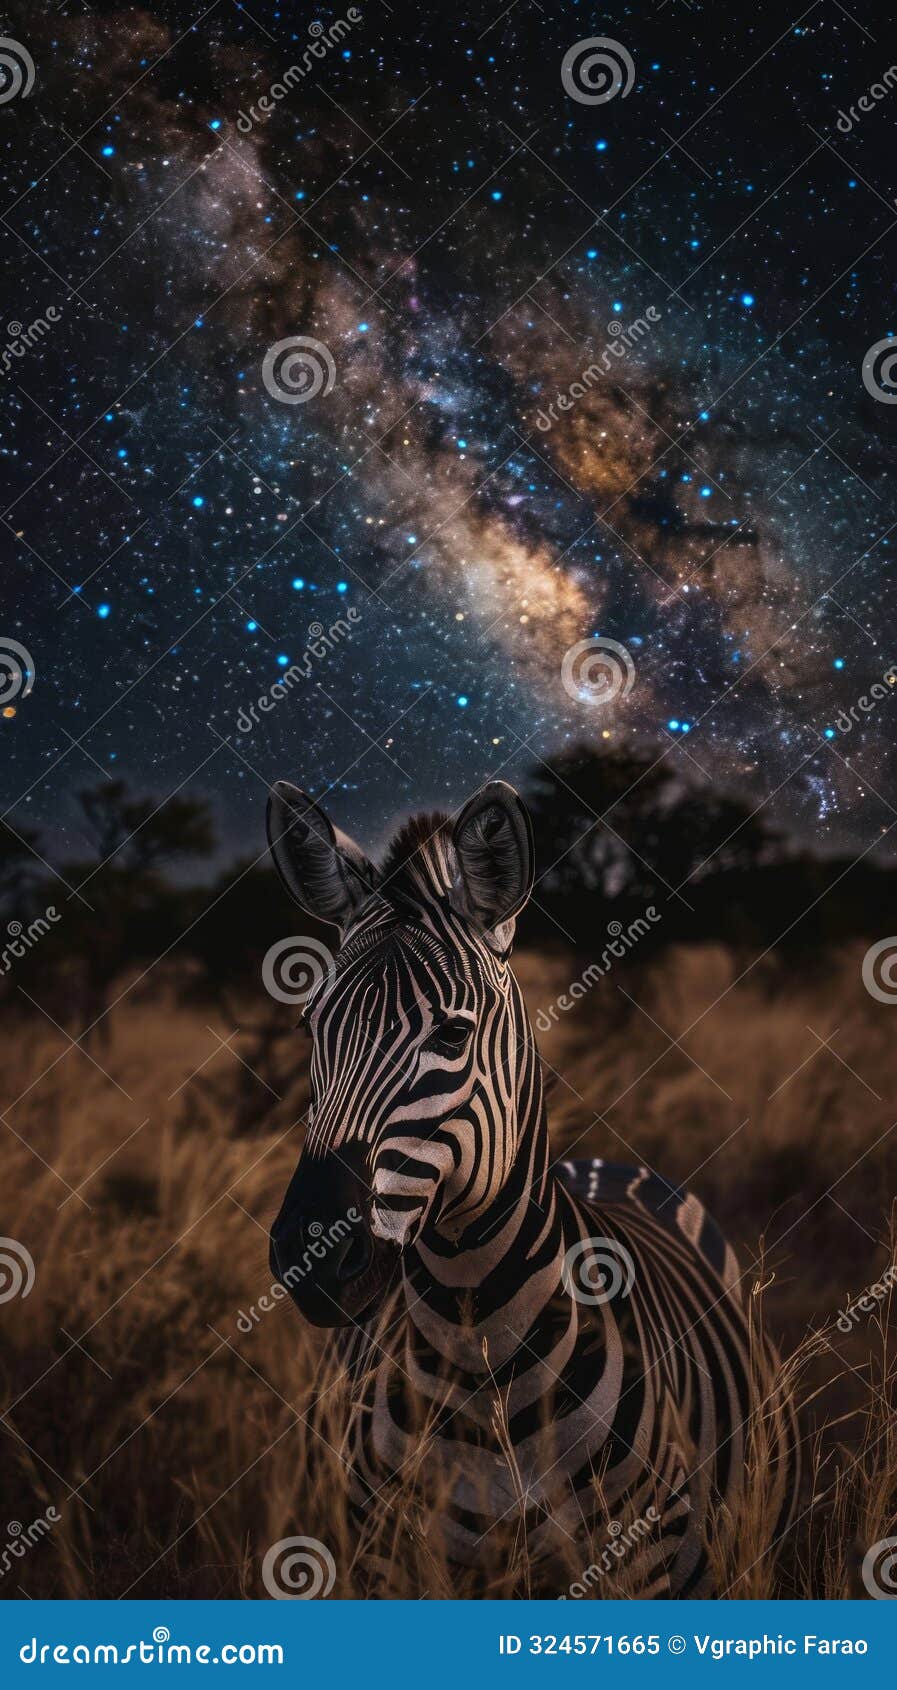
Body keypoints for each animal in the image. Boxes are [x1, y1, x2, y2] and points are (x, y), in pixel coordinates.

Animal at [267, 777, 799, 1594]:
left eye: (452, 1035)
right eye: (309, 1029)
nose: (312, 1253)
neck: (477, 1353)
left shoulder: (638, 1565)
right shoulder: (385, 1559)